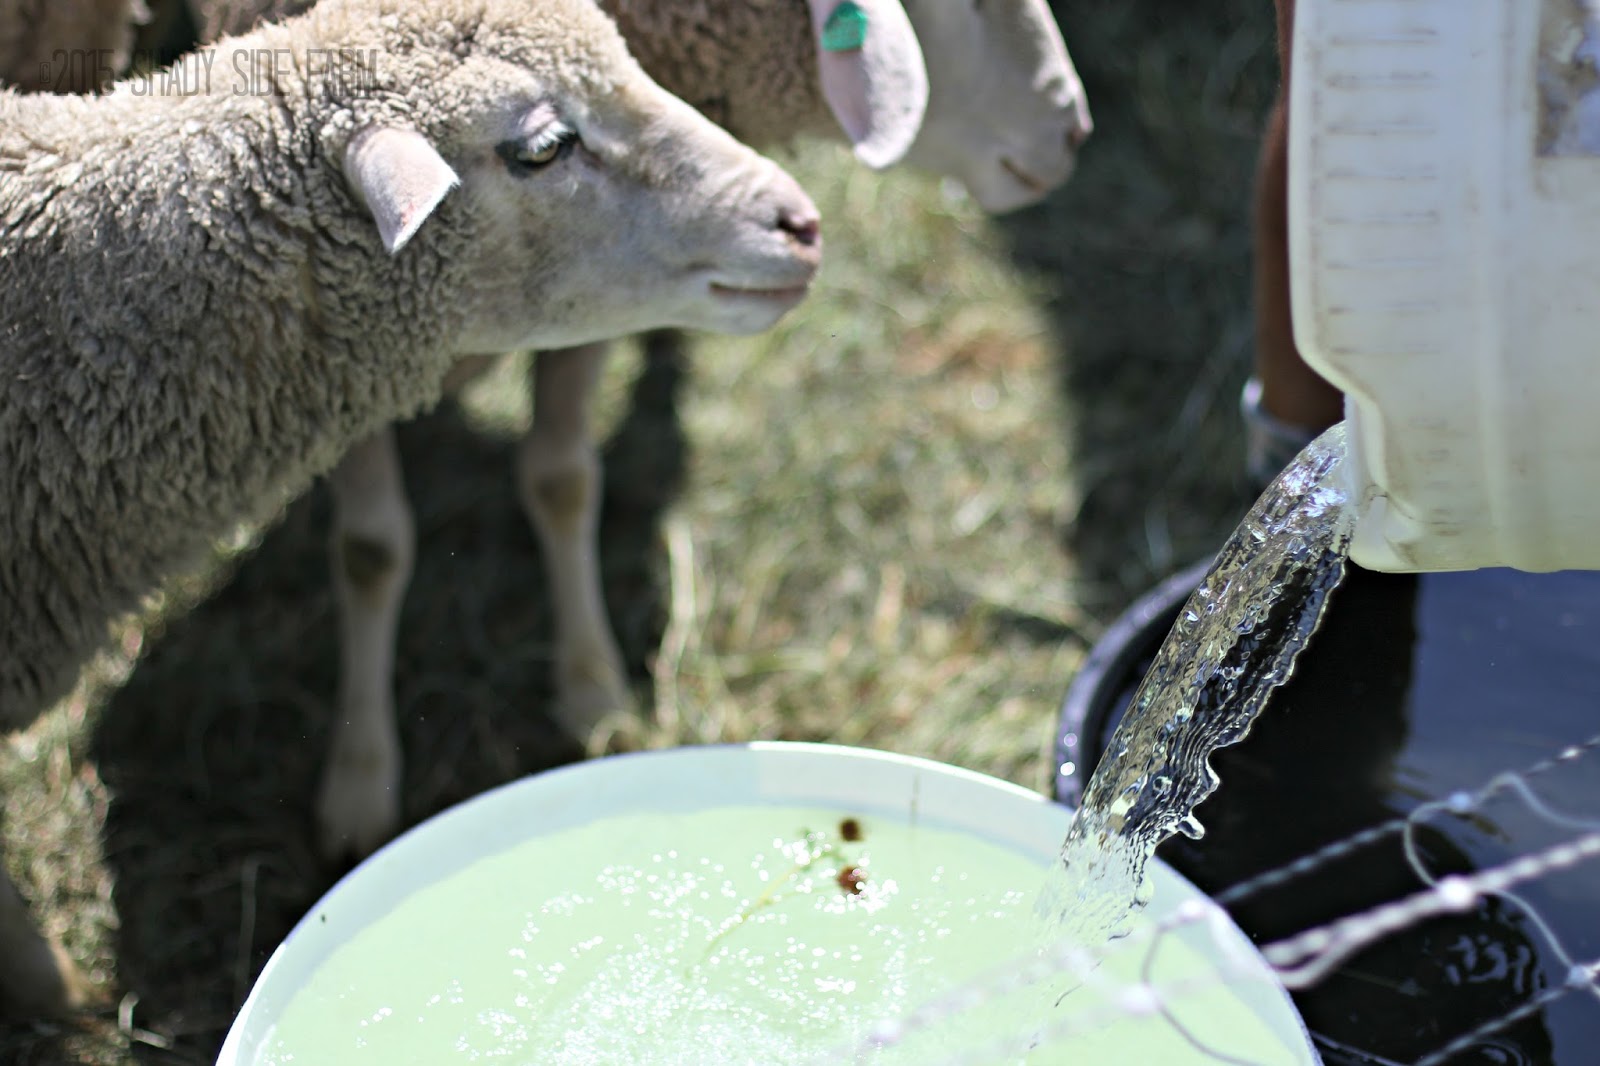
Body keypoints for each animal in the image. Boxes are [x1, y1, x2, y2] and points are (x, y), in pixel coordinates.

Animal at [174, 0, 1092, 861]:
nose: (1075, 131)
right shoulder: (348, 343)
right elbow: (371, 549)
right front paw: (361, 776)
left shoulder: (575, 318)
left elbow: (561, 479)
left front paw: (592, 694)